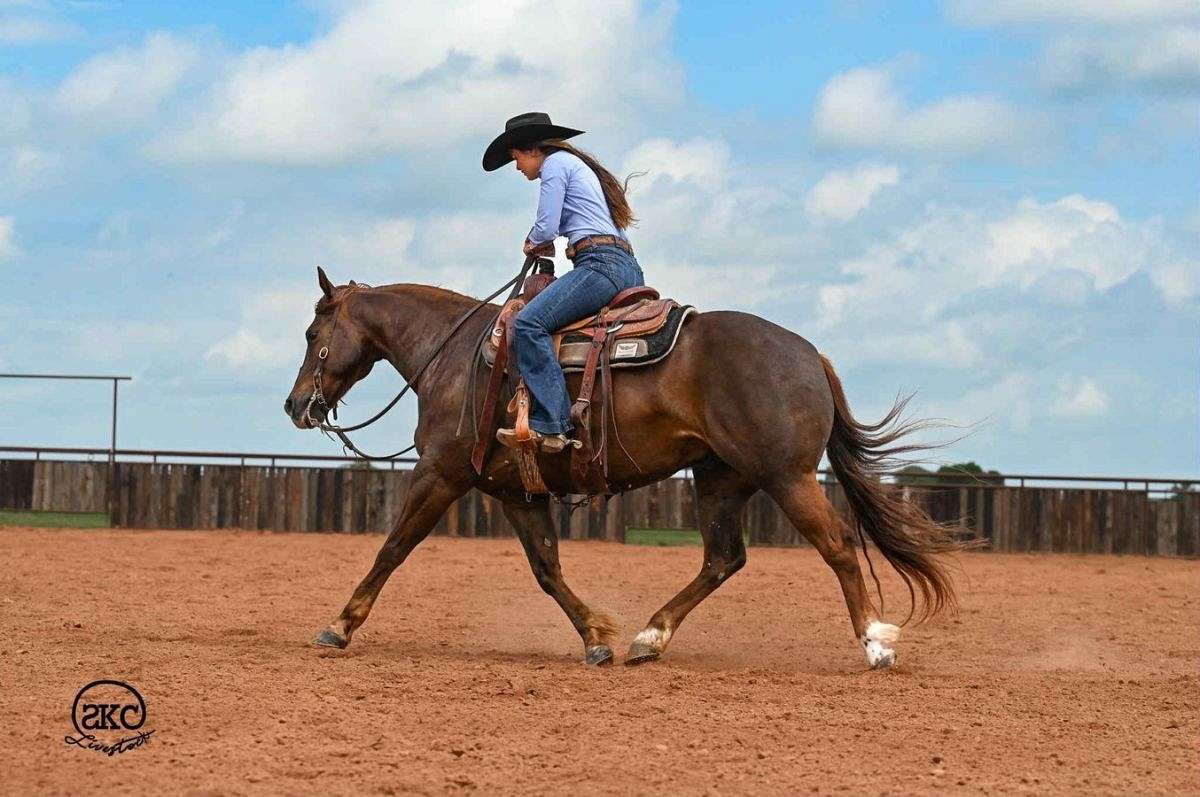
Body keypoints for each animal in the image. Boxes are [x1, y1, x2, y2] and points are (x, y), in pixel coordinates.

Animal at [284, 267, 964, 669]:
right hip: (722, 480)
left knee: (839, 545)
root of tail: (809, 354)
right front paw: (595, 637)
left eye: (314, 333)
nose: (295, 405)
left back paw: (874, 642)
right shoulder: (515, 491)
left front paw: (338, 627)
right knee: (723, 559)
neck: (456, 356)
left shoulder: (441, 473)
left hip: (786, 478)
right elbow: (548, 570)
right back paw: (649, 638)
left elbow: (392, 548)